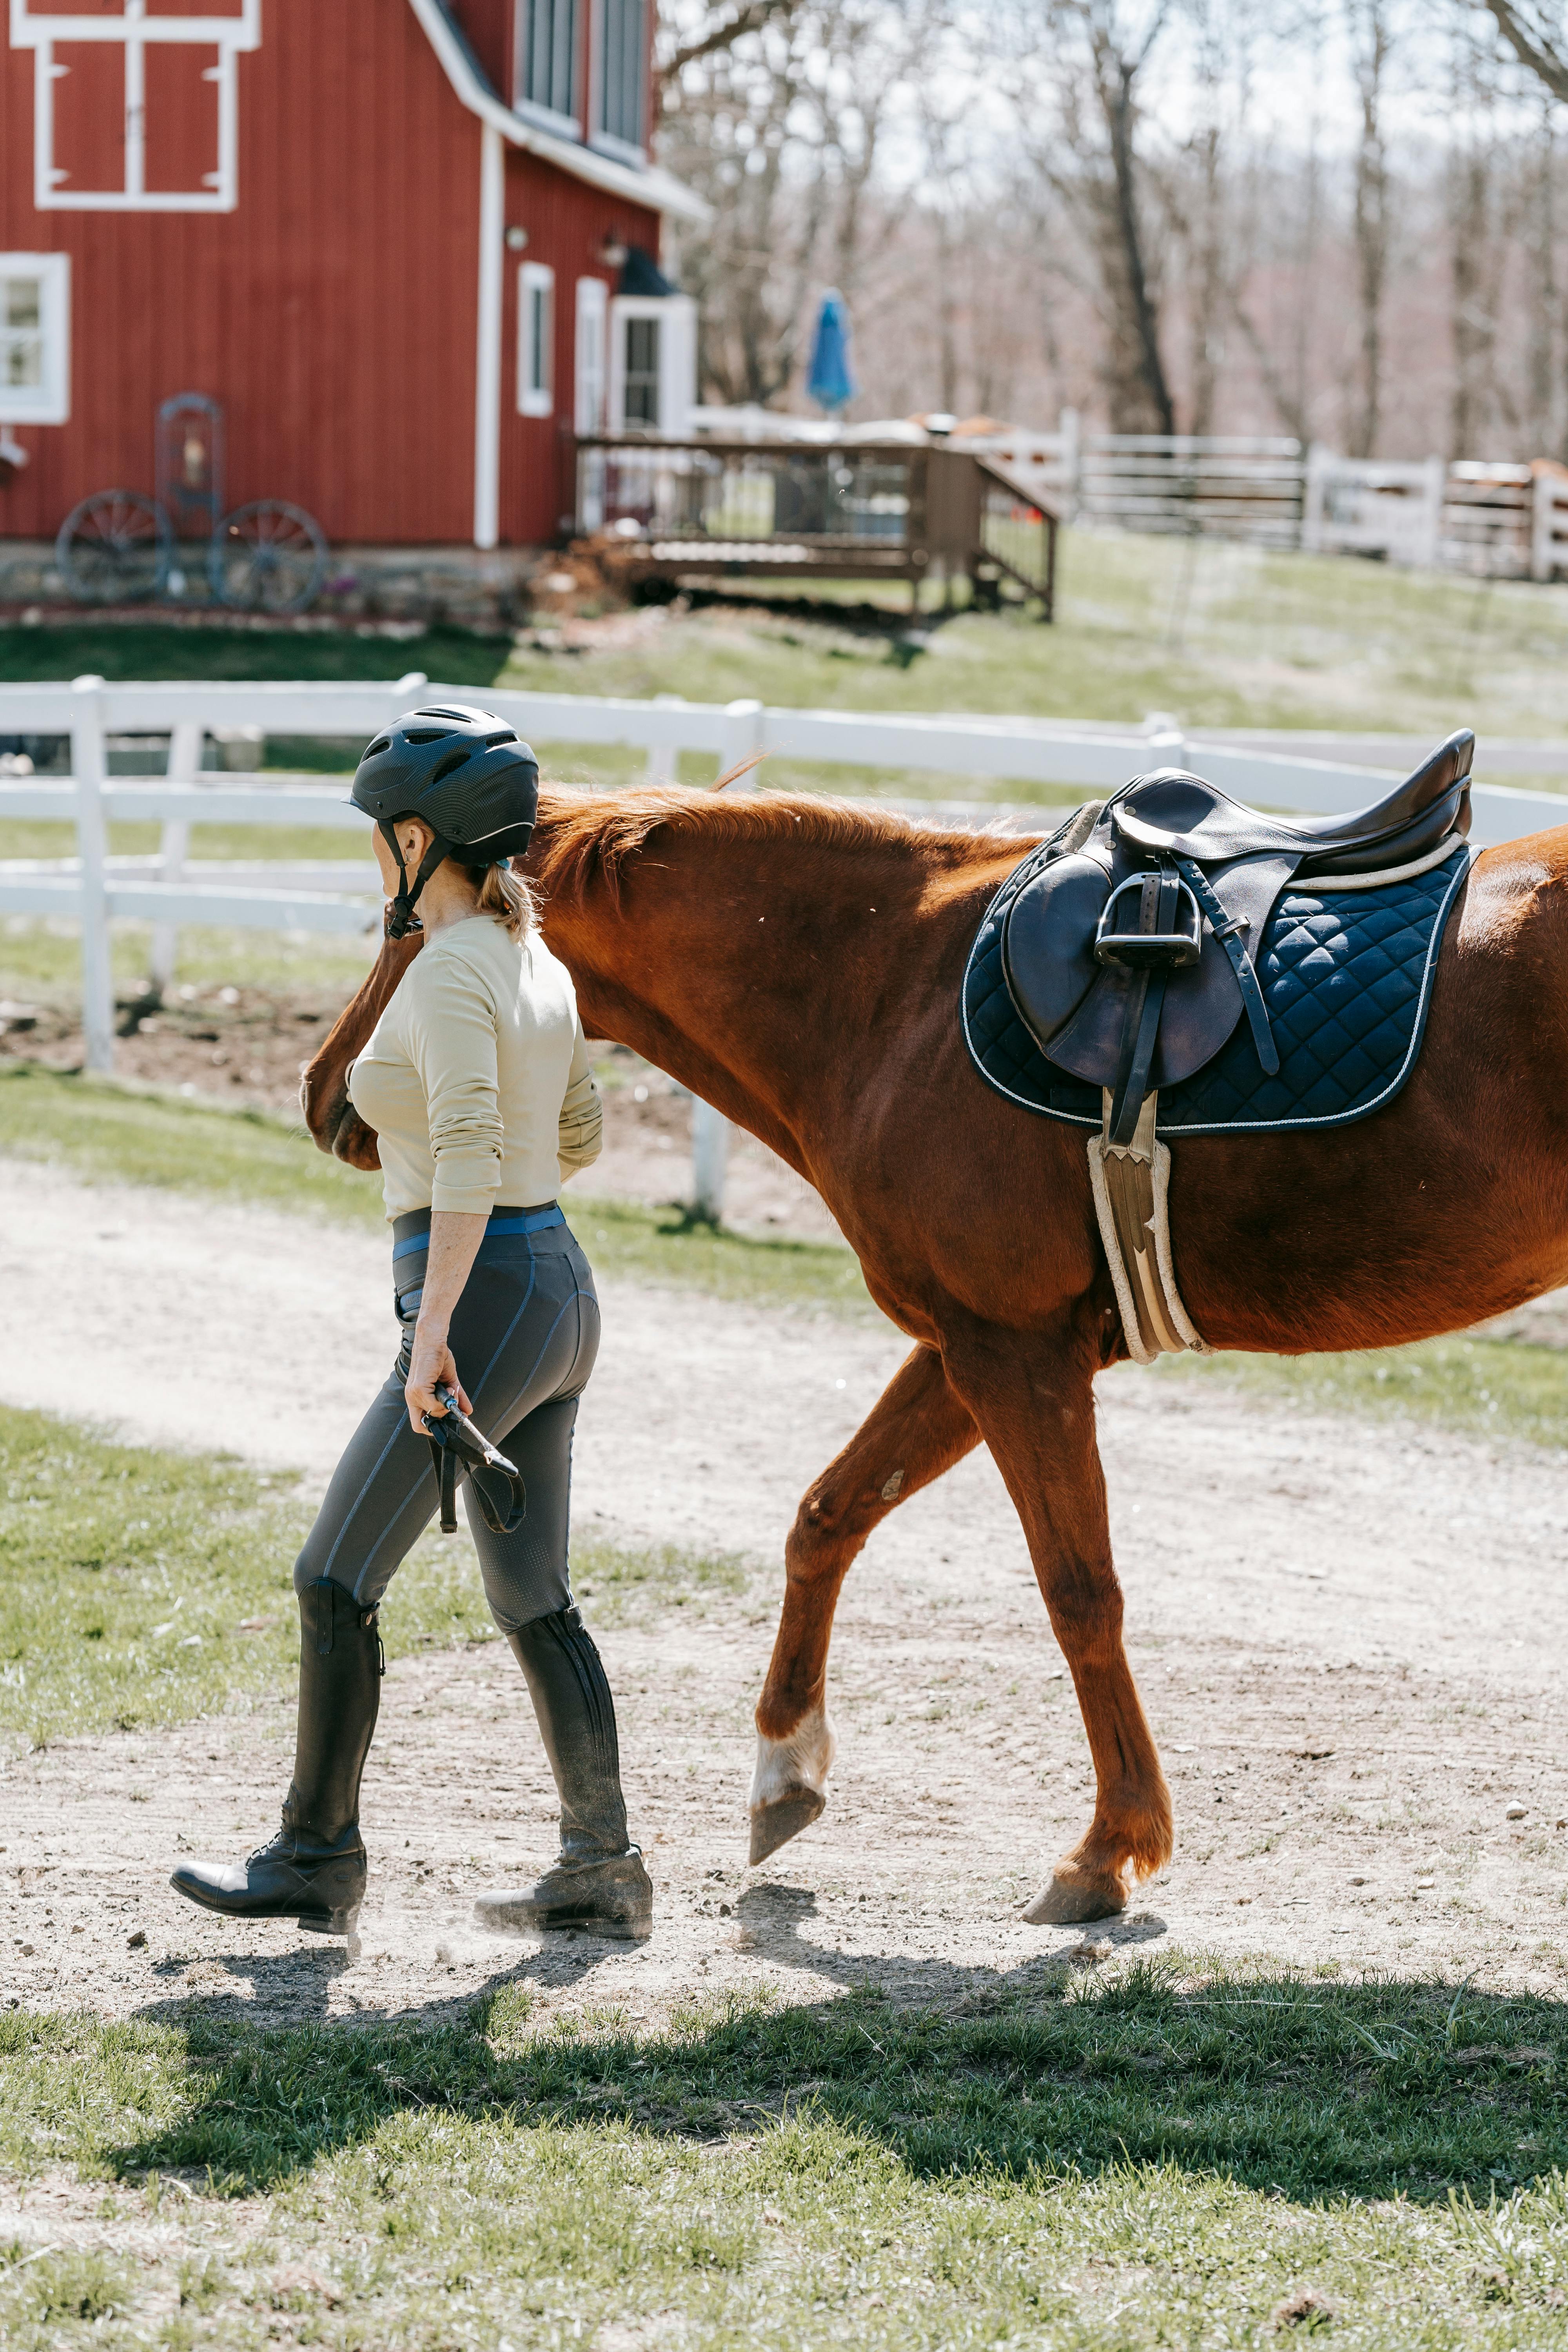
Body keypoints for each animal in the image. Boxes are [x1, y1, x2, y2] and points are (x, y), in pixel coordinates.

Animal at [301, 780, 1568, 1926]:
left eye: (402, 927)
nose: (328, 1095)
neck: (887, 986)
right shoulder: (971, 1347)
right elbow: (827, 1514)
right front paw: (785, 1767)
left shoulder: (1013, 1356)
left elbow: (1078, 1589)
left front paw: (1108, 1849)